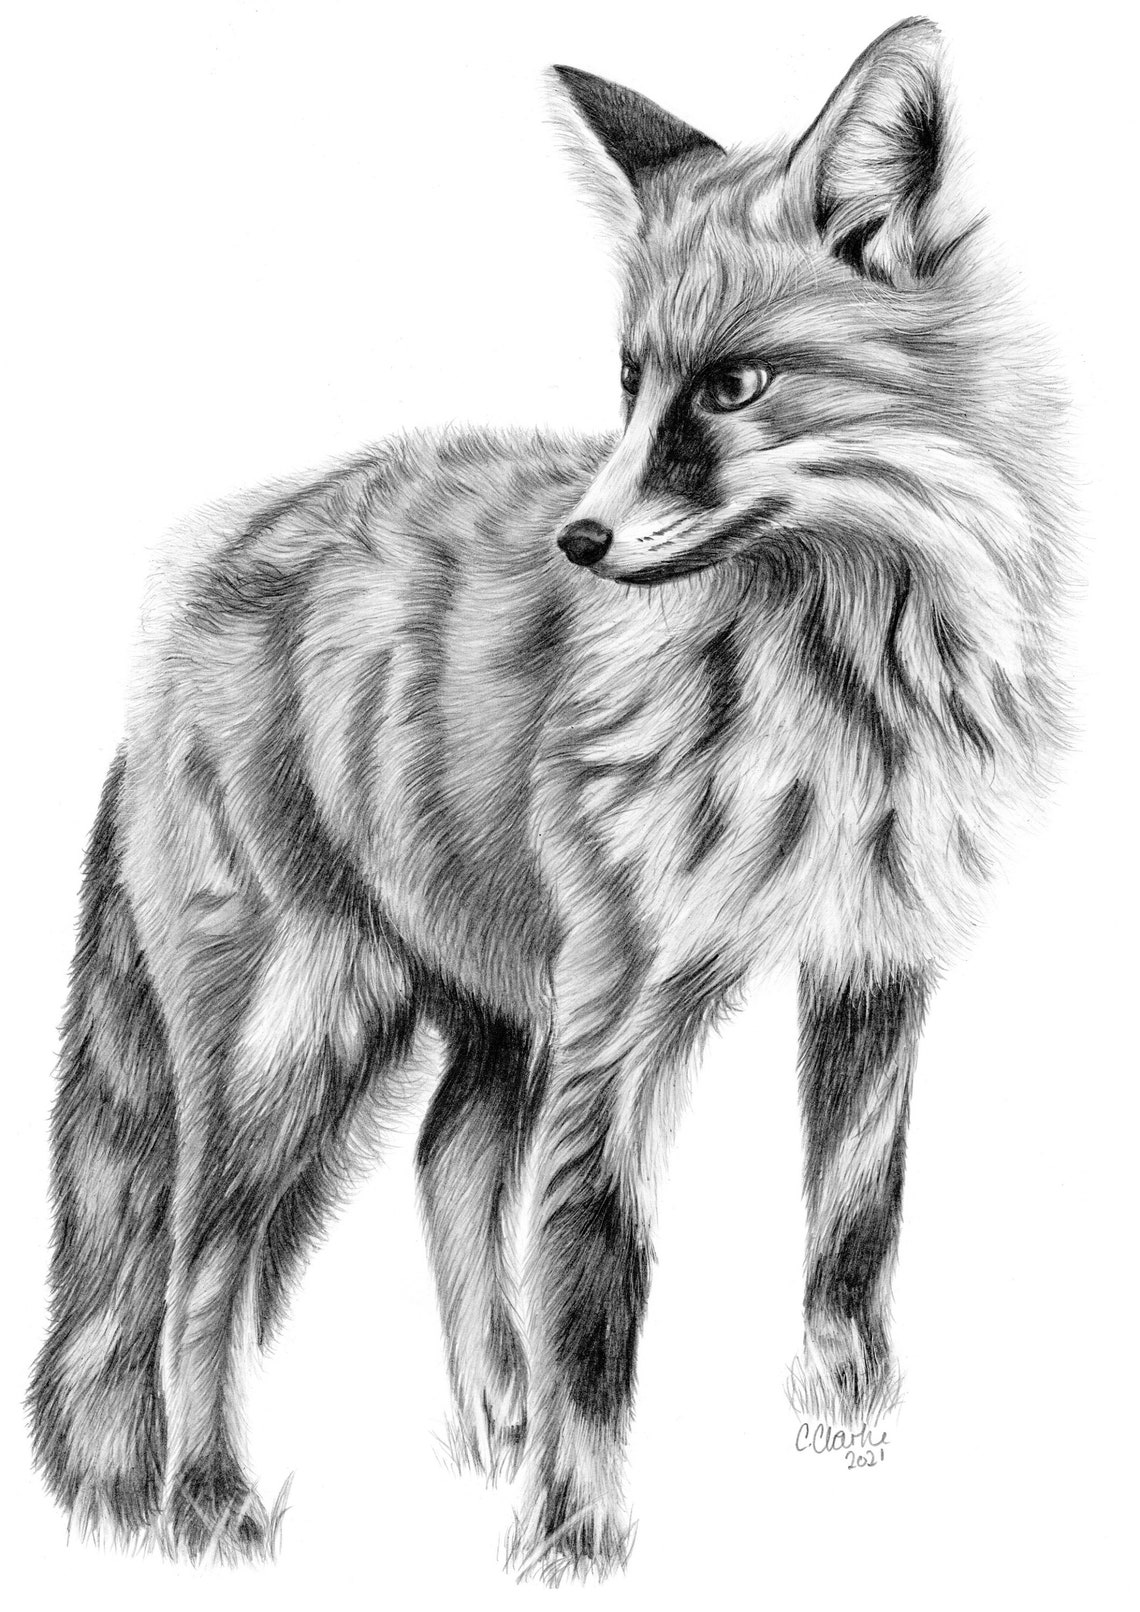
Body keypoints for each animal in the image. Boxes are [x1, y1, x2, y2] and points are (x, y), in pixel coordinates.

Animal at [29, 16, 1070, 1584]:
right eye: (627, 381)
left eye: (732, 387)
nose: (581, 540)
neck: (840, 687)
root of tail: (201, 572)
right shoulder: (626, 1012)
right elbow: (597, 1296)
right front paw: (574, 1538)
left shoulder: (872, 963)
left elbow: (852, 1237)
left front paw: (847, 1442)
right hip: (301, 1029)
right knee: (194, 1275)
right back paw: (207, 1501)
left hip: (502, 1008)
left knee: (447, 1164)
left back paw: (488, 1430)